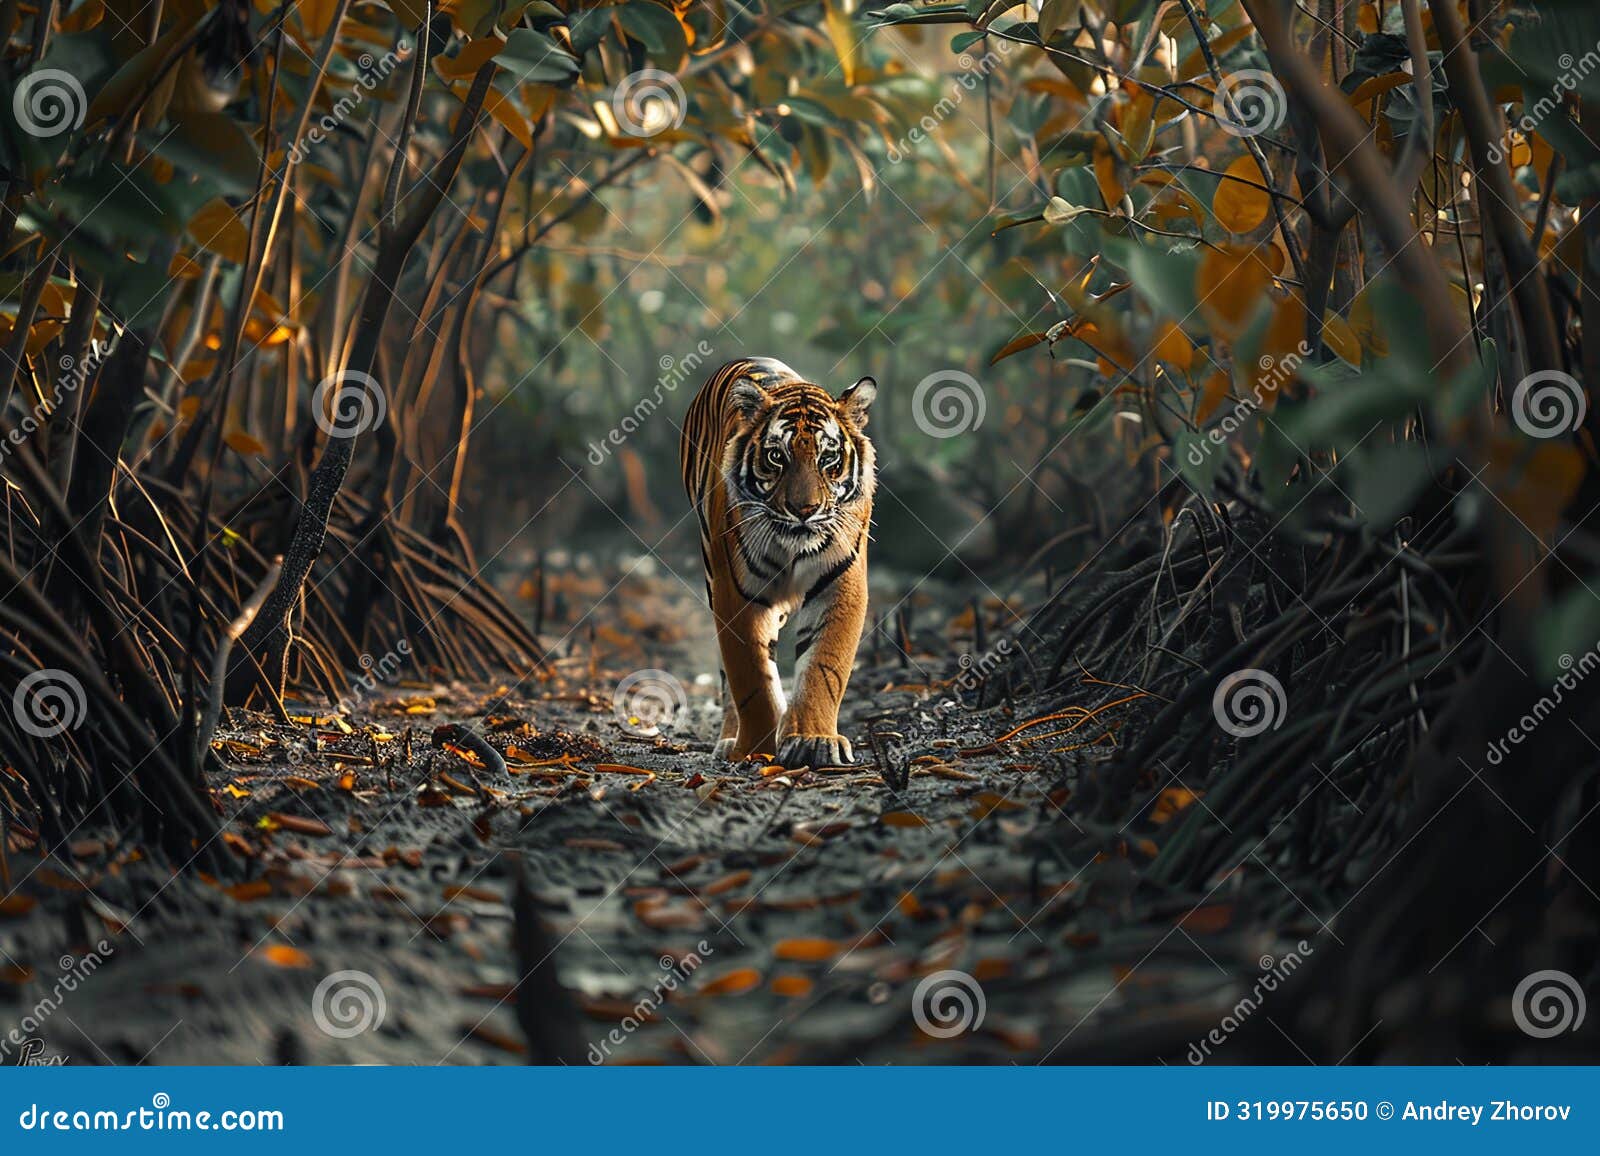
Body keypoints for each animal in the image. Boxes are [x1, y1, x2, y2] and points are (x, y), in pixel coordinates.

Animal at [680, 358, 878, 768]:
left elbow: (824, 665)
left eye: (828, 458)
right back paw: (731, 740)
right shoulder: (735, 592)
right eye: (776, 457)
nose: (804, 510)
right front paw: (756, 747)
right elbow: (751, 677)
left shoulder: (842, 583)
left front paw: (814, 740)